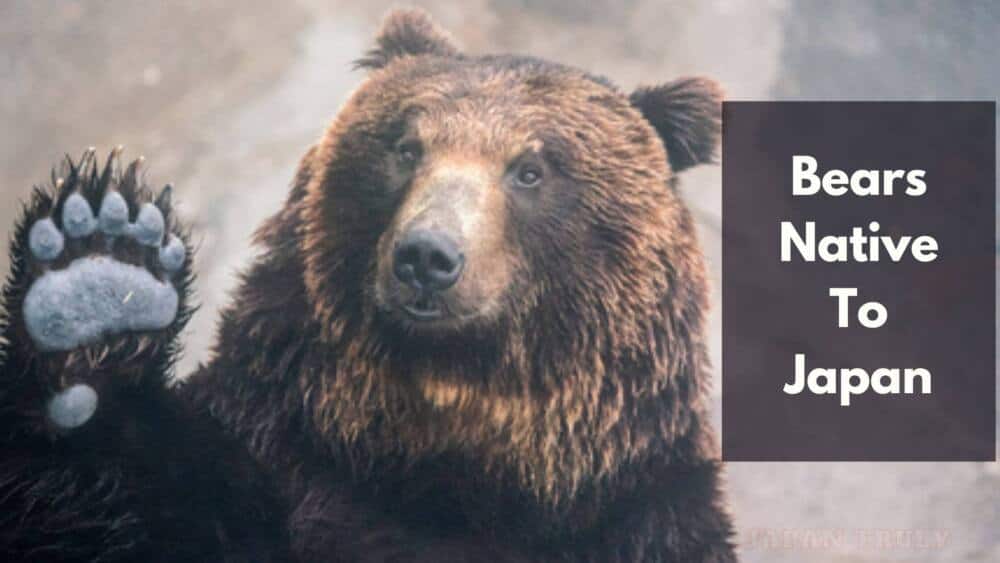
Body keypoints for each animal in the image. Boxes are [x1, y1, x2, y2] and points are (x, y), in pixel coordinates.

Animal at [0, 8, 735, 562]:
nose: (427, 256)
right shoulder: (268, 451)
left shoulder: (638, 516)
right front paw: (95, 283)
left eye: (531, 169)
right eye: (406, 147)